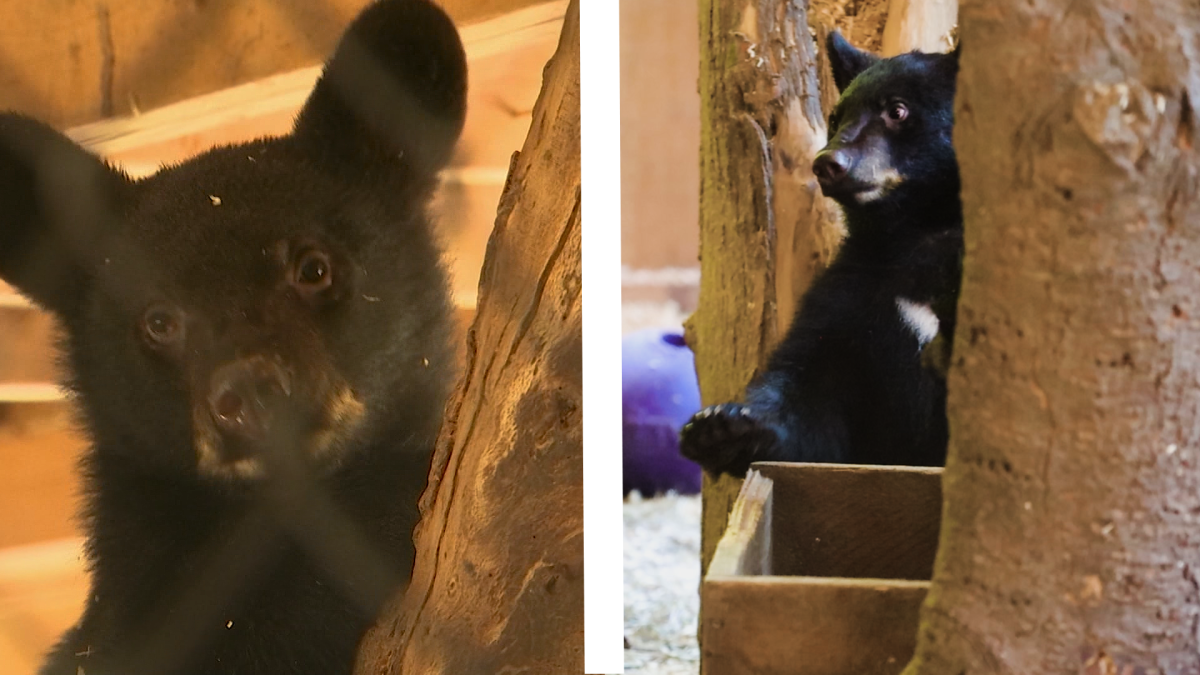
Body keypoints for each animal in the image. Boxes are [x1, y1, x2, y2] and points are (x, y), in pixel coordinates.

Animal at [679, 31, 963, 477]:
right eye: (835, 116)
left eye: (898, 110)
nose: (828, 163)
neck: (914, 231)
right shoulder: (854, 293)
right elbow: (811, 393)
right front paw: (722, 428)